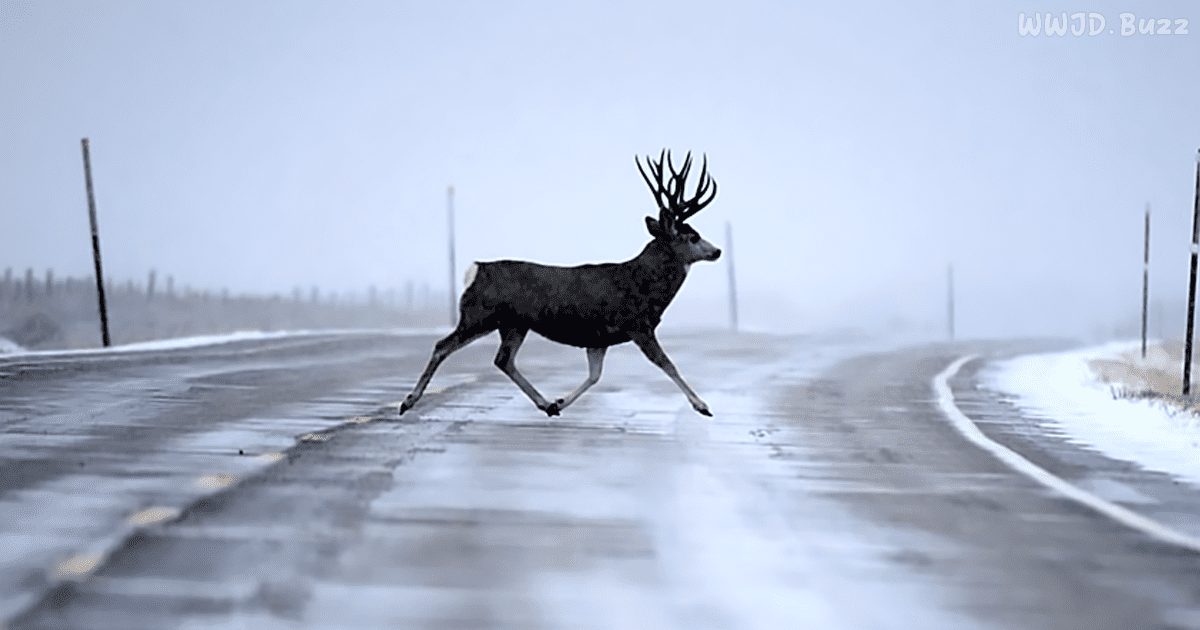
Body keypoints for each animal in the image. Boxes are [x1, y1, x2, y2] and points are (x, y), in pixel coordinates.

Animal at [398, 150, 722, 418]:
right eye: (692, 236)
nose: (717, 251)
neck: (643, 285)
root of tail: (475, 270)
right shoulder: (637, 325)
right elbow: (667, 364)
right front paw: (702, 405)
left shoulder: (597, 338)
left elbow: (594, 376)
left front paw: (560, 402)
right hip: (480, 314)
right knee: (443, 345)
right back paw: (407, 401)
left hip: (513, 323)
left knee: (503, 360)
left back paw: (546, 404)